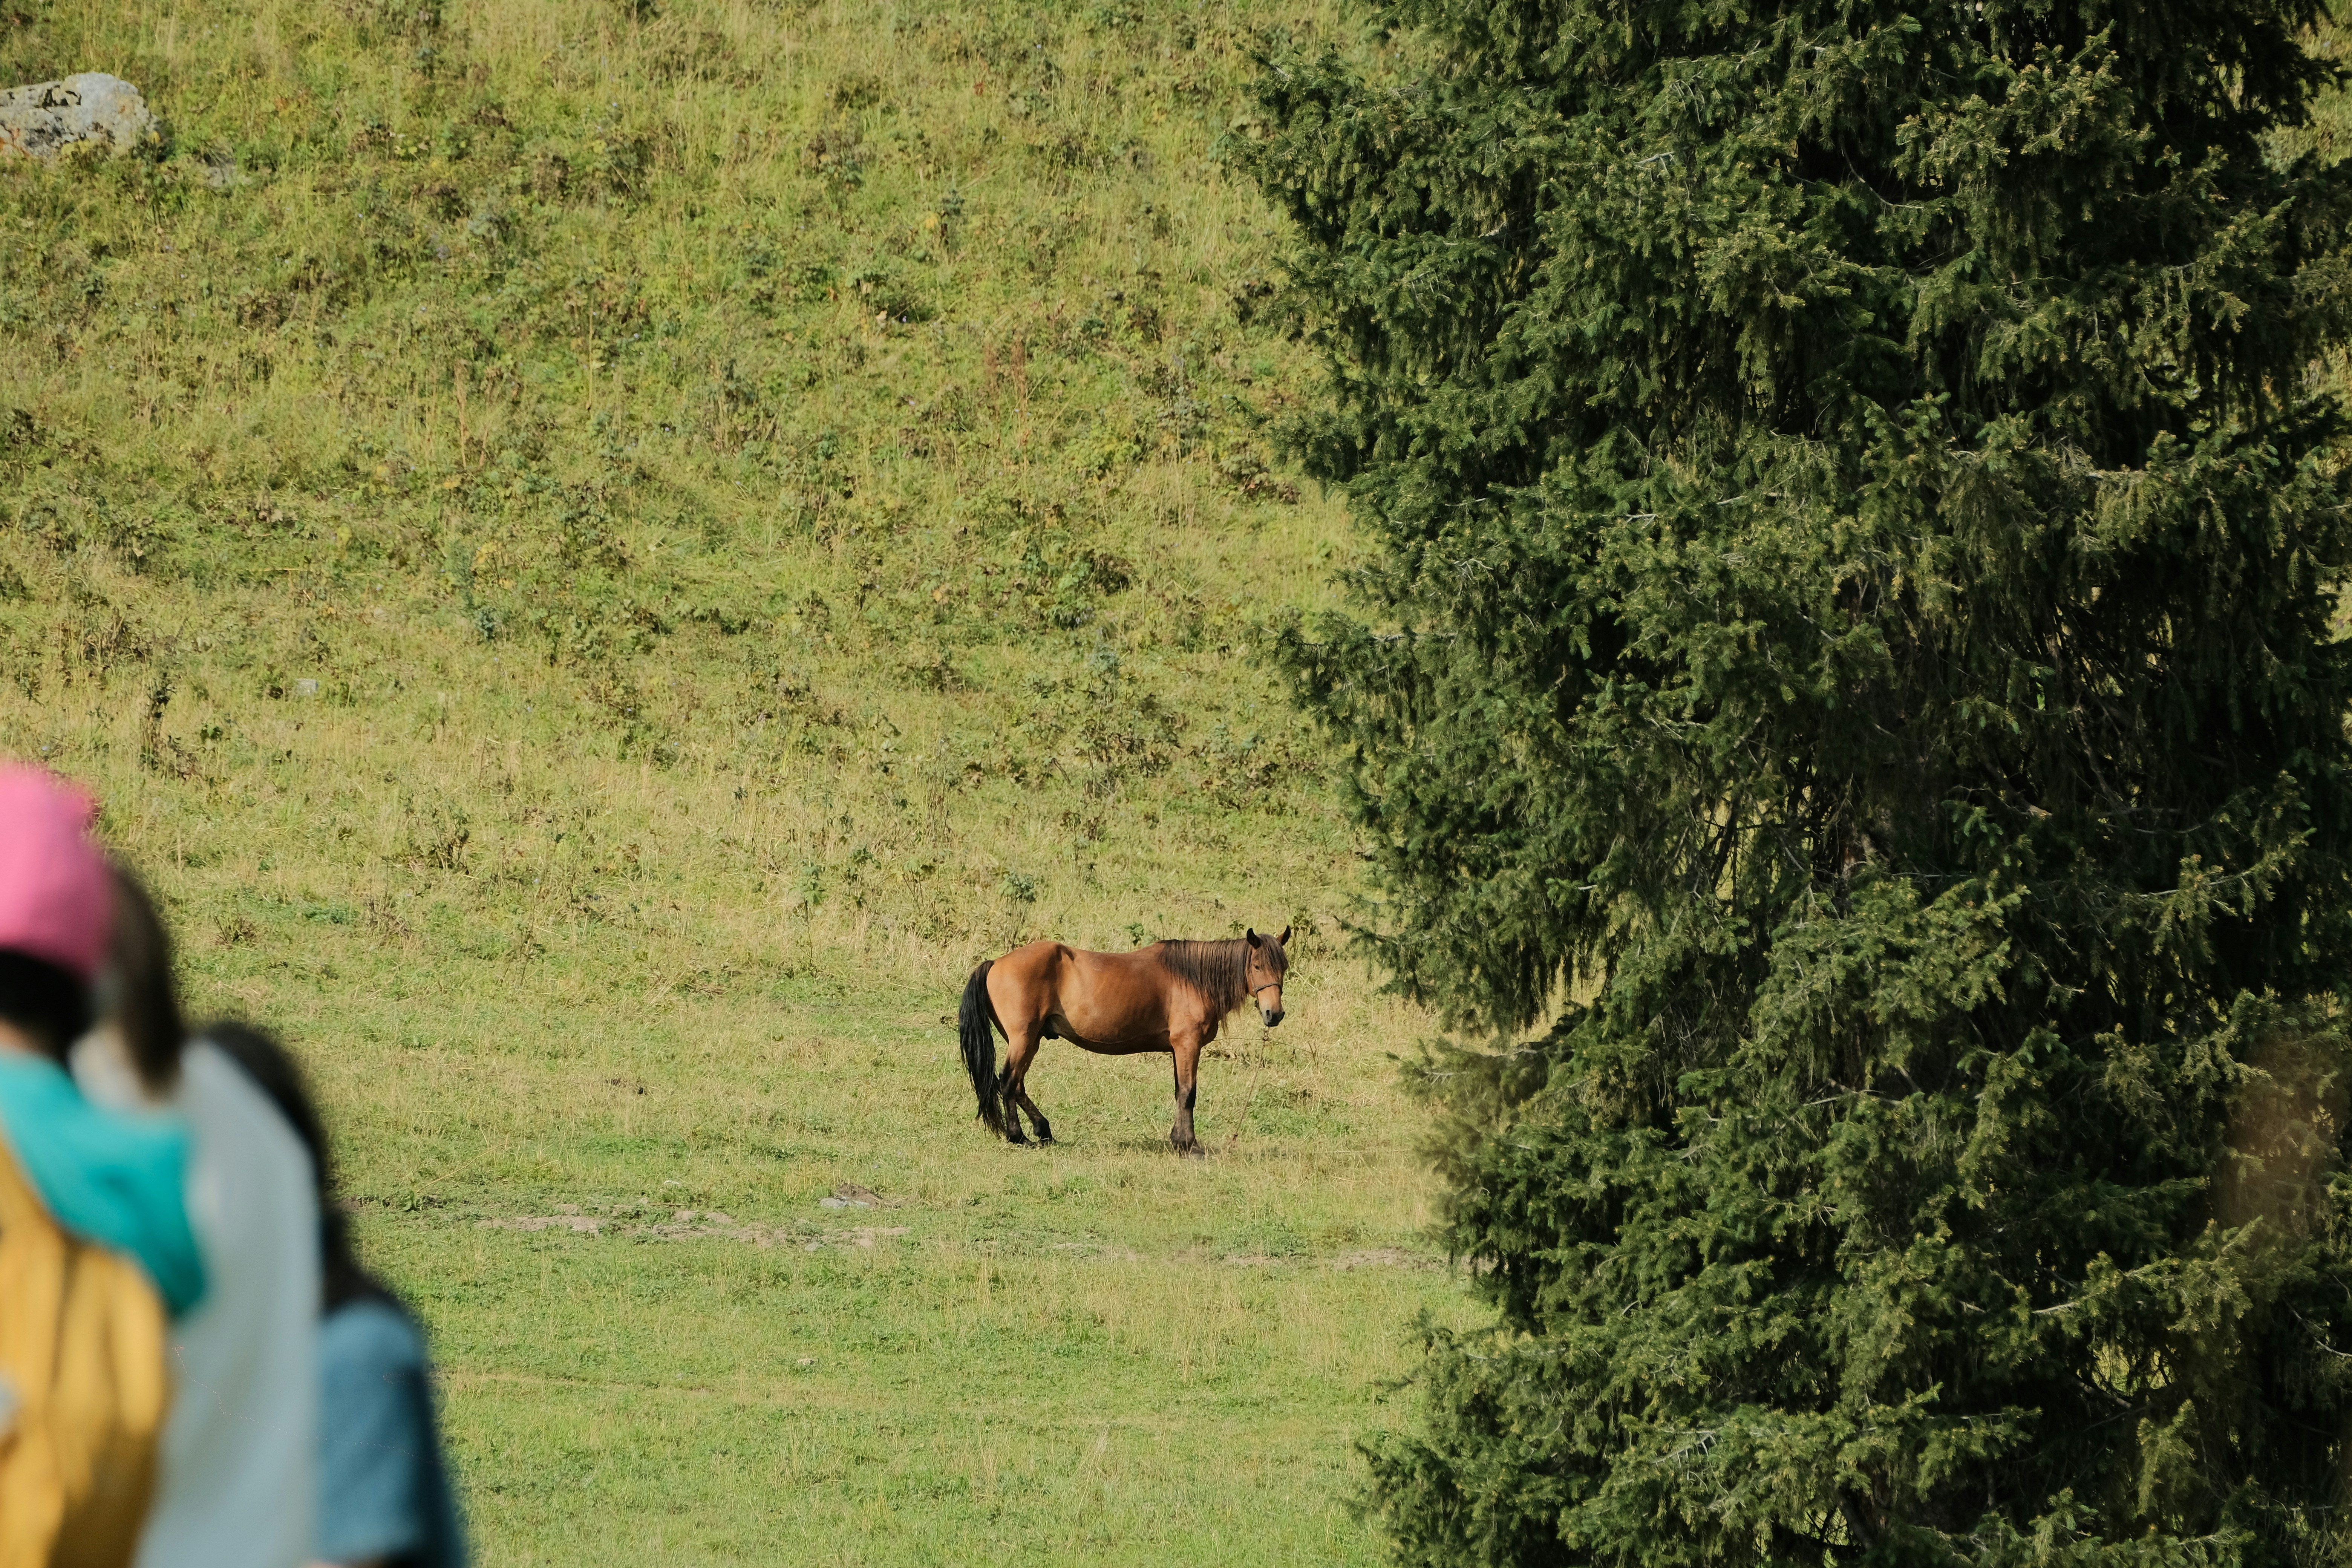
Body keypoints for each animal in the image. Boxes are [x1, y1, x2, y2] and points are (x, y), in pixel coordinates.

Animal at [956, 927, 1291, 1156]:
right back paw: (1019, 1136)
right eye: (1258, 966)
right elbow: (1188, 1094)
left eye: (1284, 967)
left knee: (1017, 1085)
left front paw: (1177, 1140)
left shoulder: (1177, 1050)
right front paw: (1189, 1145)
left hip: (1030, 1040)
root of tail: (997, 963)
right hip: (1024, 1039)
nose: (1274, 1014)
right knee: (1008, 1081)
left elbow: (1178, 1093)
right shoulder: (1187, 1045)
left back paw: (1044, 1130)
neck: (1192, 978)